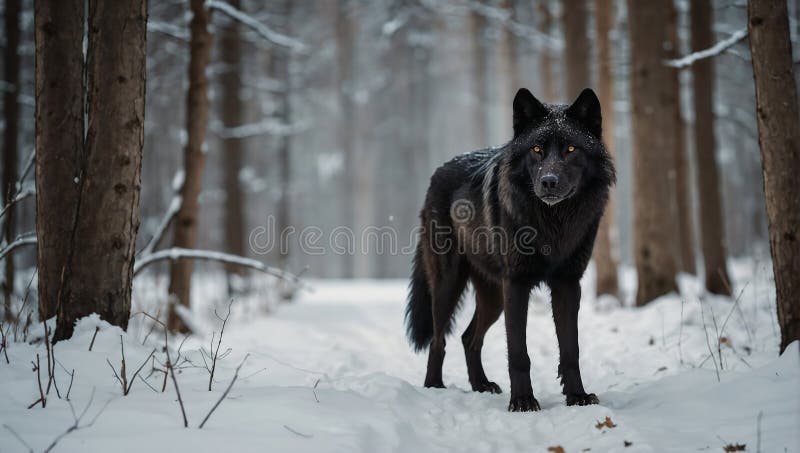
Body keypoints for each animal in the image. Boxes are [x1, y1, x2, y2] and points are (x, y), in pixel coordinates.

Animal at [405, 88, 615, 412]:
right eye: (537, 150)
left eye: (570, 149)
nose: (549, 181)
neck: (552, 223)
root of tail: (439, 169)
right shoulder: (516, 283)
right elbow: (518, 352)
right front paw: (523, 401)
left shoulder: (568, 284)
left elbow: (571, 349)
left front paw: (577, 396)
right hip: (448, 286)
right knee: (439, 340)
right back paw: (434, 387)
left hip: (493, 298)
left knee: (468, 337)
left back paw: (481, 385)